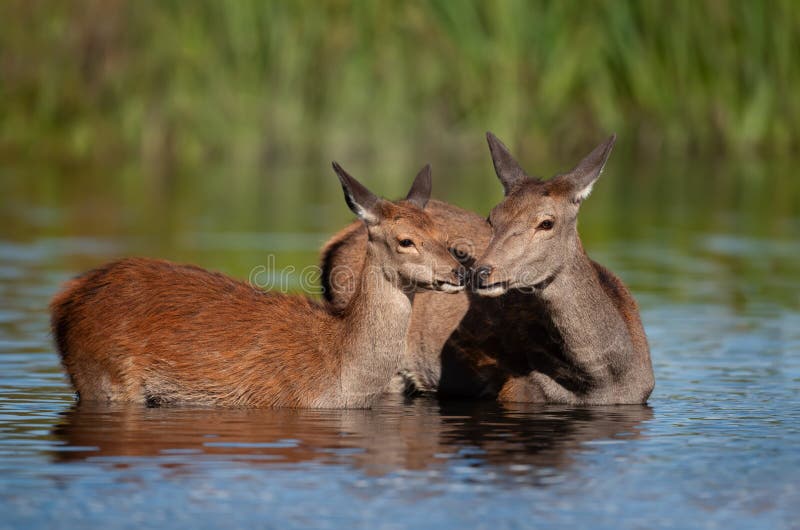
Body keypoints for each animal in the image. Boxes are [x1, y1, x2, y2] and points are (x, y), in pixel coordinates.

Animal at [319, 134, 654, 404]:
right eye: (492, 217)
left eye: (546, 223)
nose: (479, 272)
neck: (605, 379)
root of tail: (337, 239)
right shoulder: (516, 390)